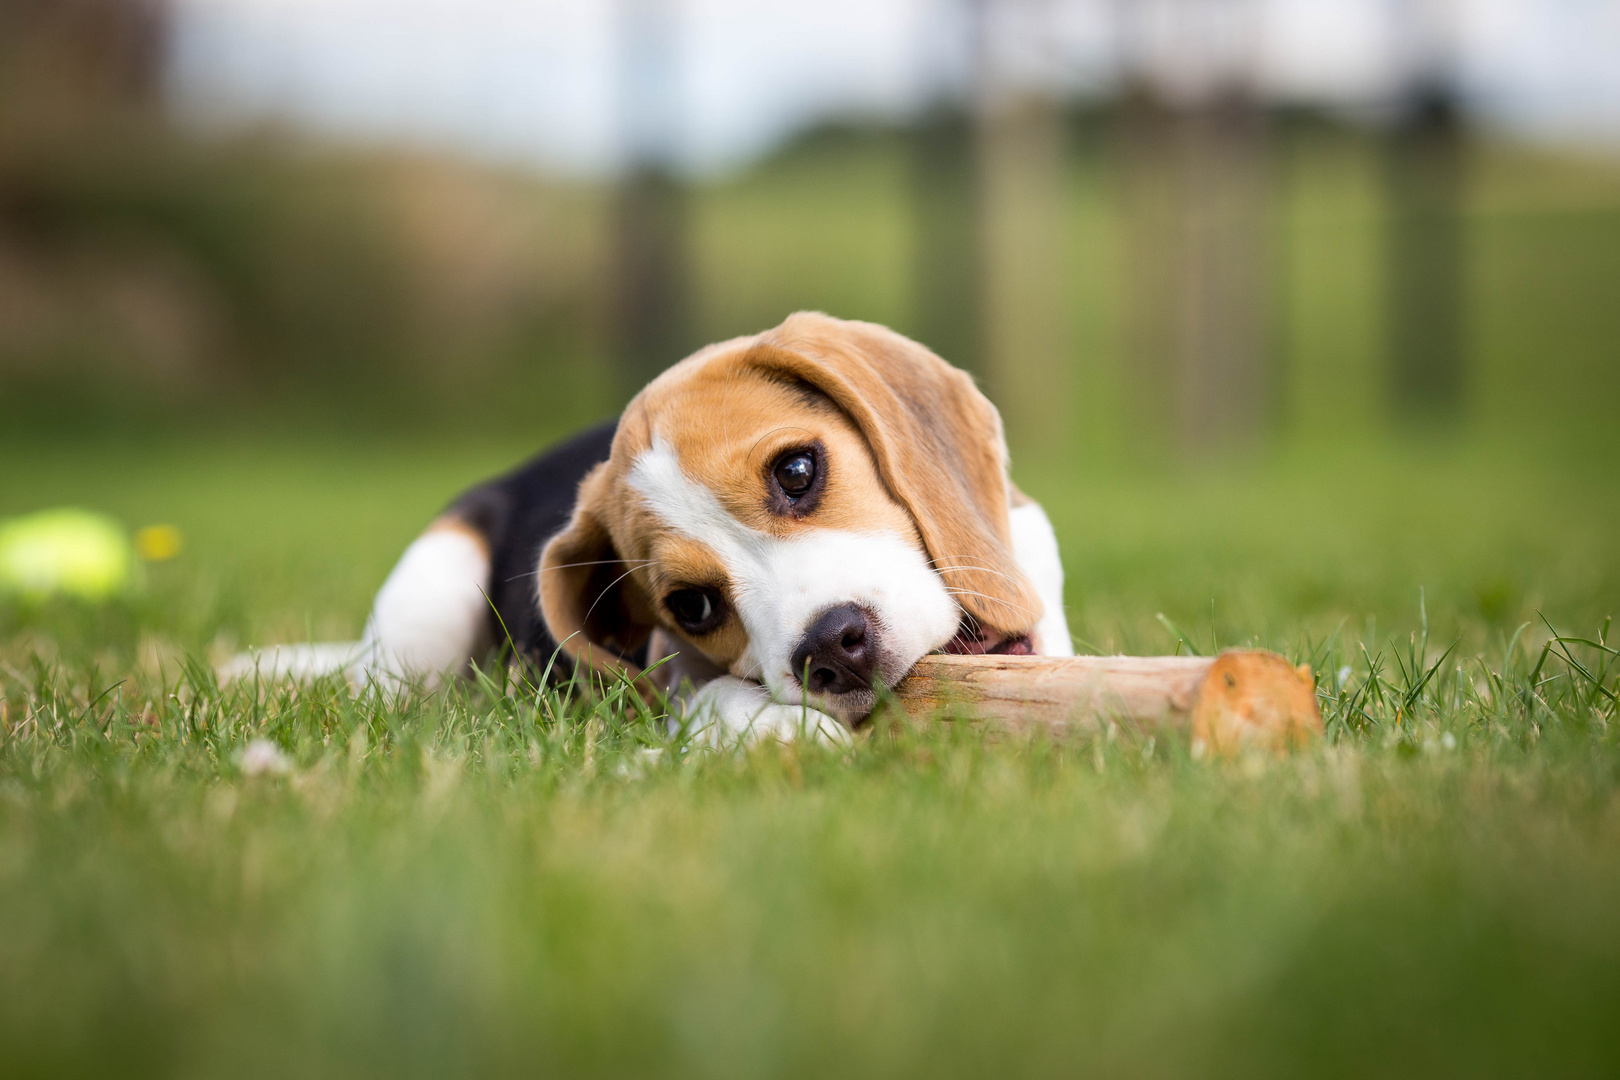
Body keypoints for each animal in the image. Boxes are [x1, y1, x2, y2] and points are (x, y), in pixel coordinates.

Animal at [225, 307, 1062, 738]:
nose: (829, 650)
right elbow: (710, 698)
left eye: (797, 471)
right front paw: (782, 727)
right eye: (692, 607)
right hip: (429, 601)